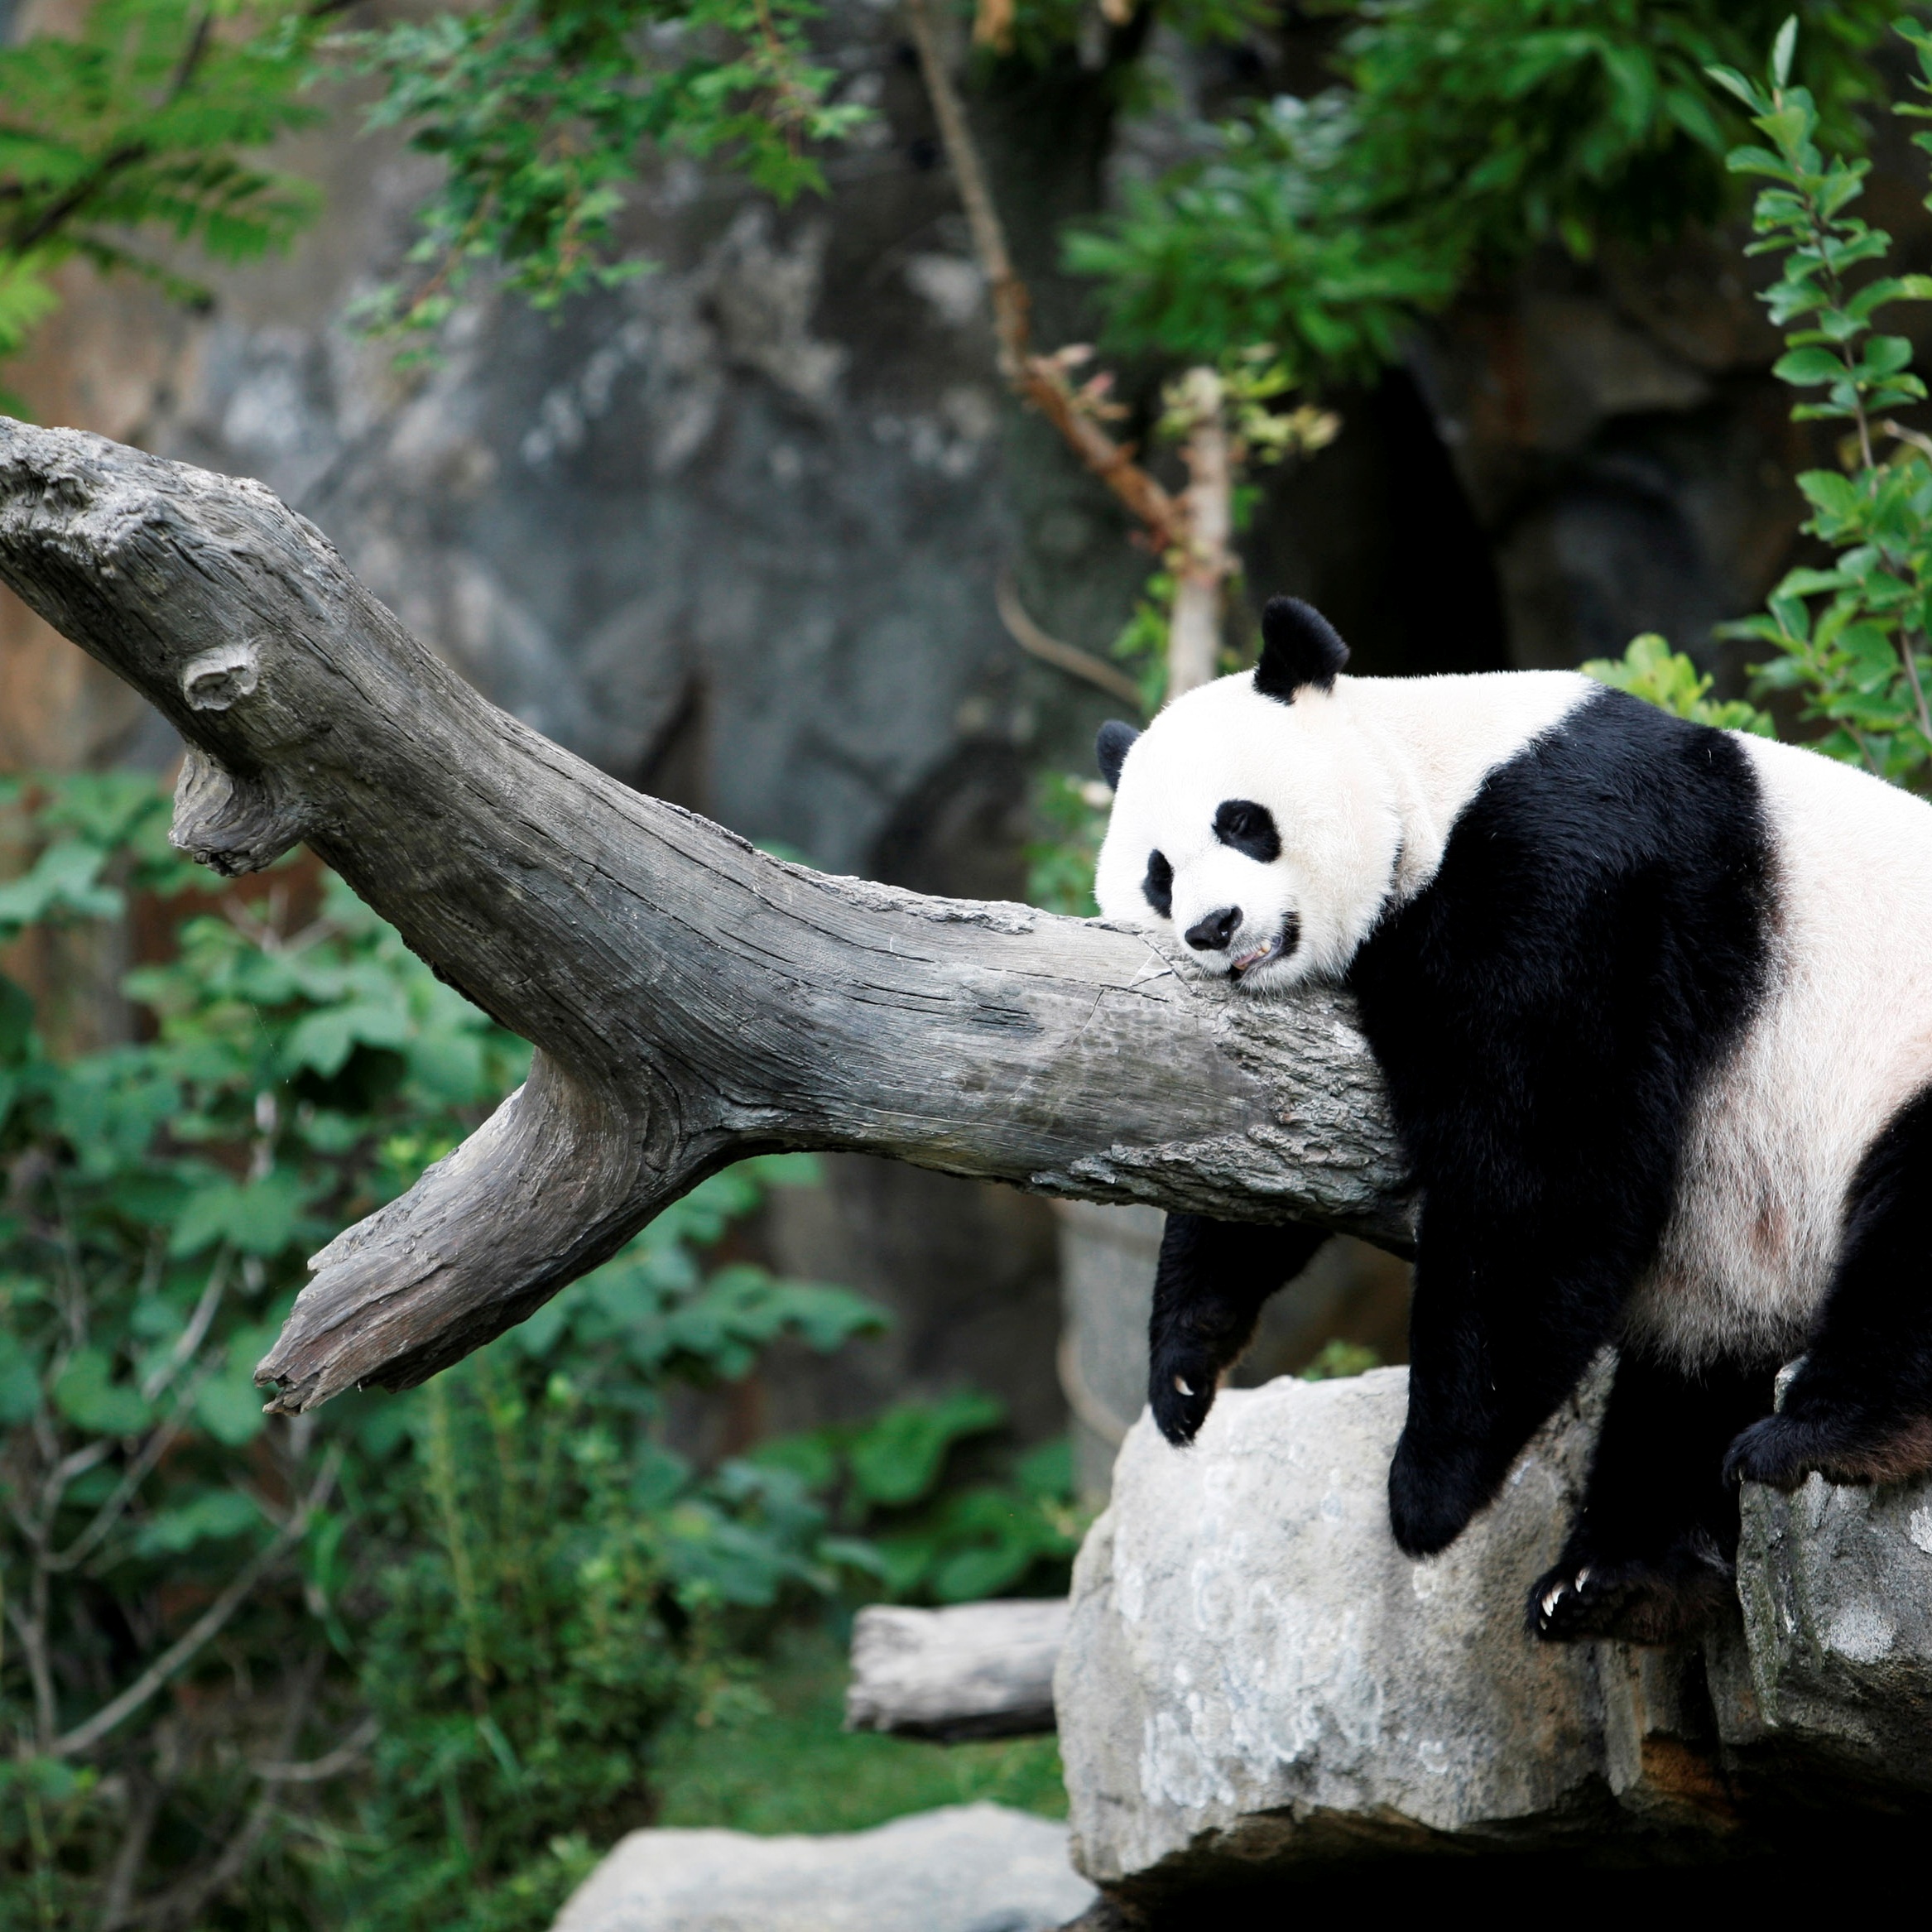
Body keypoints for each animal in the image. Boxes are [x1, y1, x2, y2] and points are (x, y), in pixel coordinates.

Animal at [1092, 595, 1932, 1645]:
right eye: (1159, 876)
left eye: (1243, 824)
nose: (1214, 929)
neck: (1430, 776)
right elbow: (1260, 1150)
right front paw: (1184, 1367)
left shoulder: (1572, 864)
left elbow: (1542, 1169)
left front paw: (1427, 1491)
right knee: (1687, 1368)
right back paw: (1620, 1575)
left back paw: (1820, 1438)